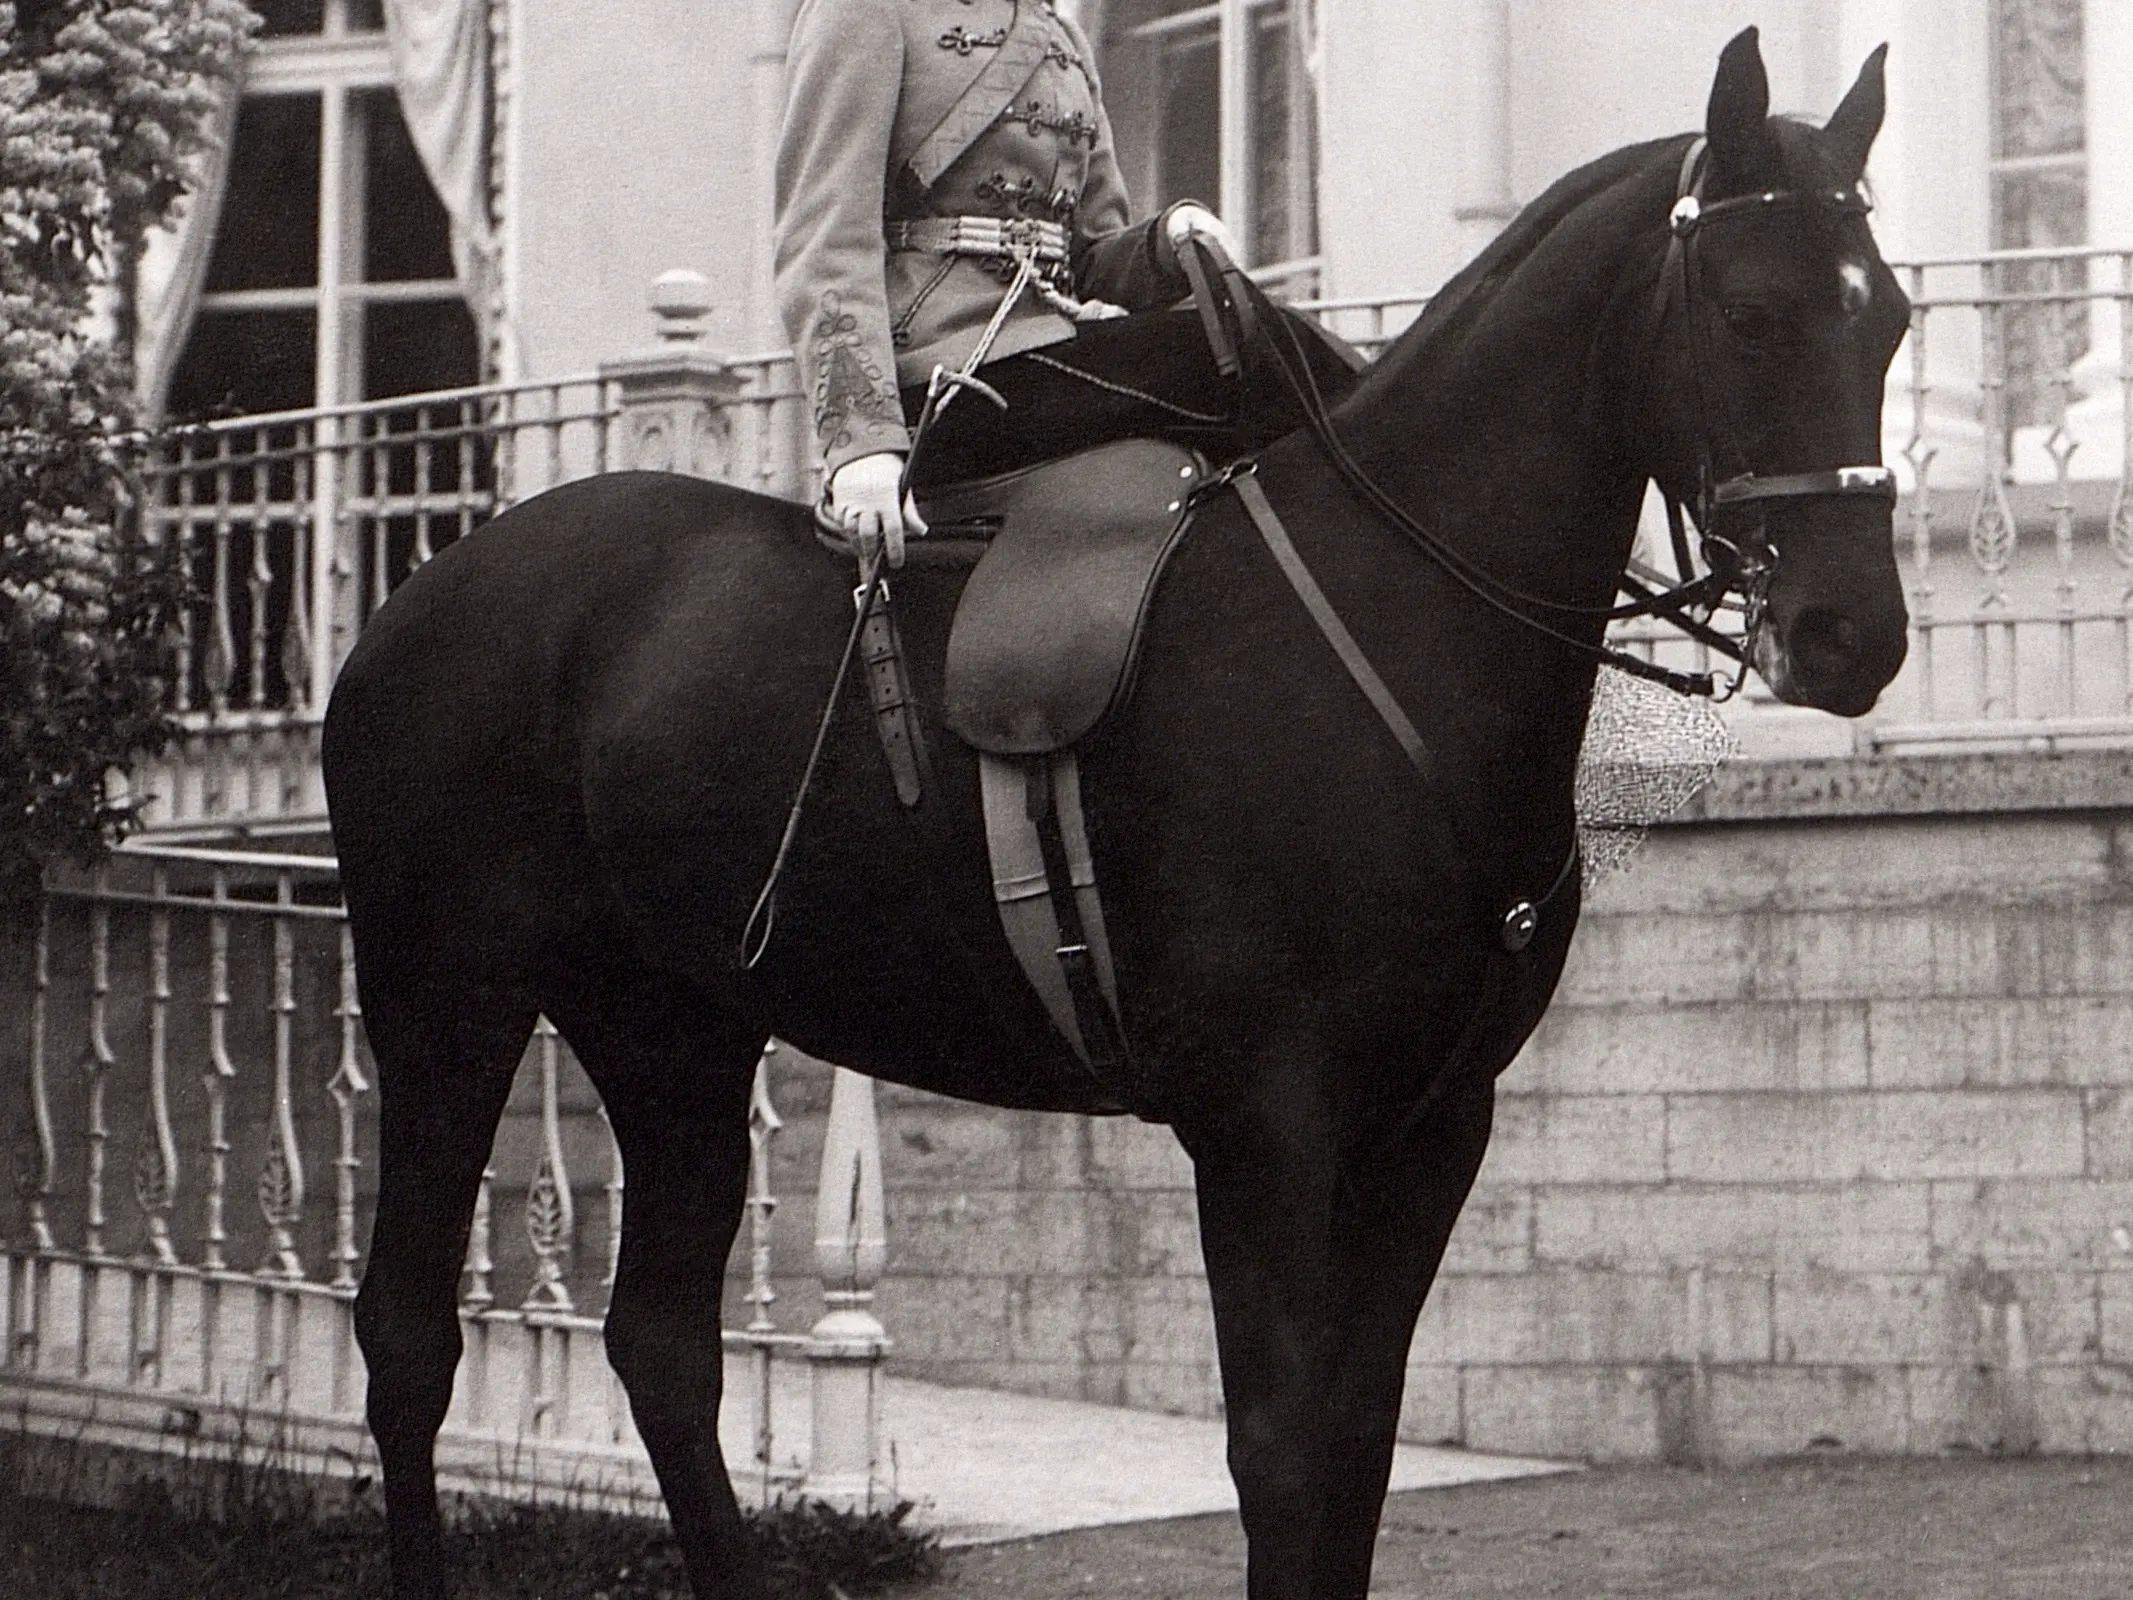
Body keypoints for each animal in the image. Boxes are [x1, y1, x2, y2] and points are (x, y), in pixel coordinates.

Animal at [323, 28, 1910, 1600]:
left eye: (1887, 319)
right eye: (1753, 314)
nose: (1858, 636)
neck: (1396, 617)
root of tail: (415, 597)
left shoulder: (1434, 1125)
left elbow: (1358, 1450)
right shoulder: (1267, 1124)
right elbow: (1283, 1456)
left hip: (674, 1029)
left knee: (658, 1340)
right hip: (447, 1001)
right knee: (406, 1334)